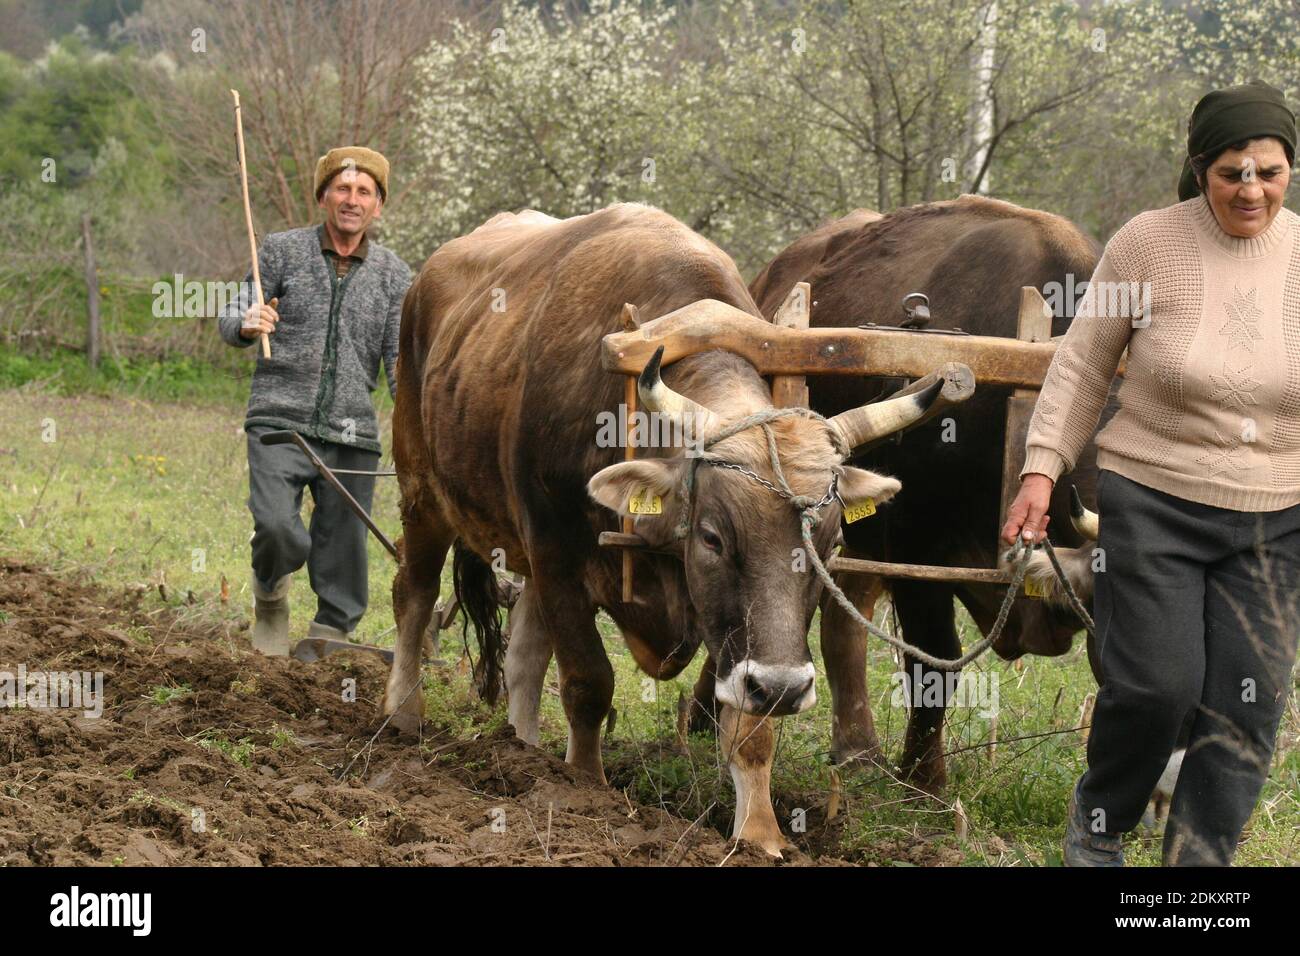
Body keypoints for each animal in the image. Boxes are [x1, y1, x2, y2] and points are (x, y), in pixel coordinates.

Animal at [381, 202, 944, 855]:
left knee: (524, 652)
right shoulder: (556, 555)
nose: (784, 687)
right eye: (712, 537)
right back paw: (402, 717)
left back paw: (520, 750)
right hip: (423, 491)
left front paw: (760, 832)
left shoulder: (739, 635)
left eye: (829, 545)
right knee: (414, 593)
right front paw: (585, 789)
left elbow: (749, 726)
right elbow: (589, 683)